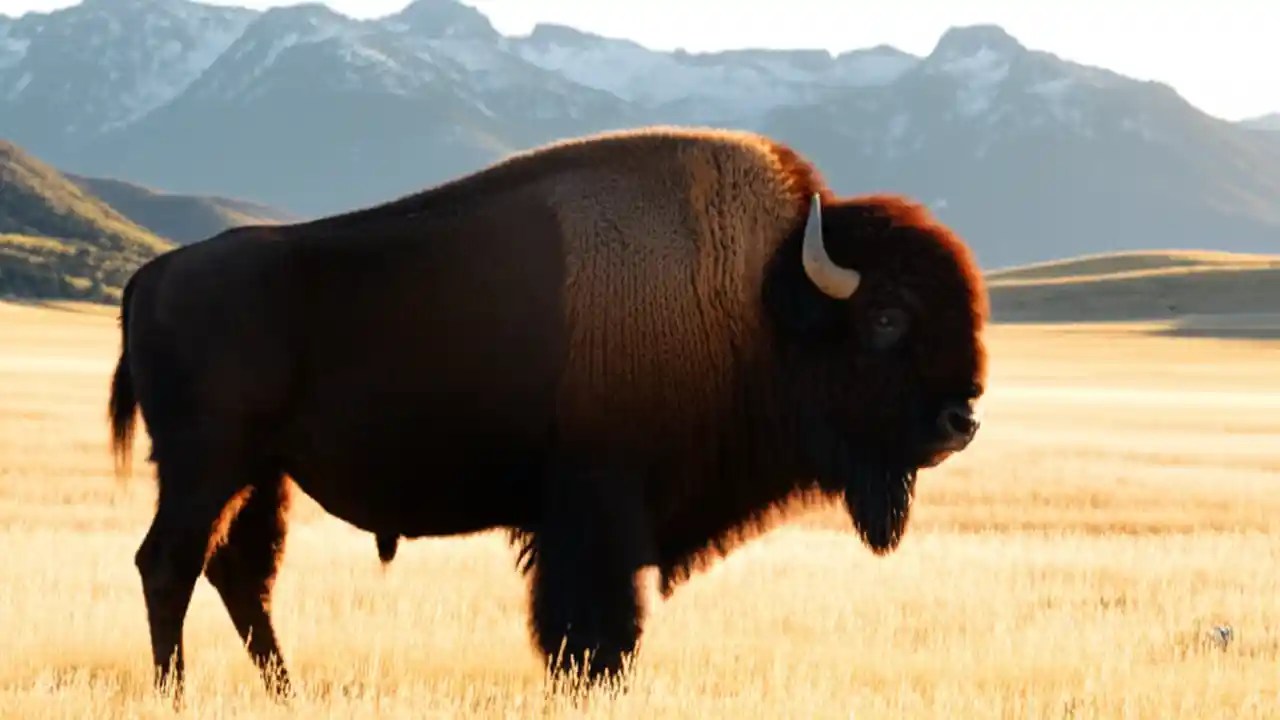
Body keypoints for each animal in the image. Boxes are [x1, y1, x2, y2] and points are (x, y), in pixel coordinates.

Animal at [107, 126, 988, 698]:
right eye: (886, 317)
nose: (962, 422)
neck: (759, 302)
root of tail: (154, 276)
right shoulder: (596, 514)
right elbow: (595, 632)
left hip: (261, 475)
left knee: (241, 576)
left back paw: (288, 692)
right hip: (205, 466)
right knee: (168, 565)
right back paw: (174, 693)